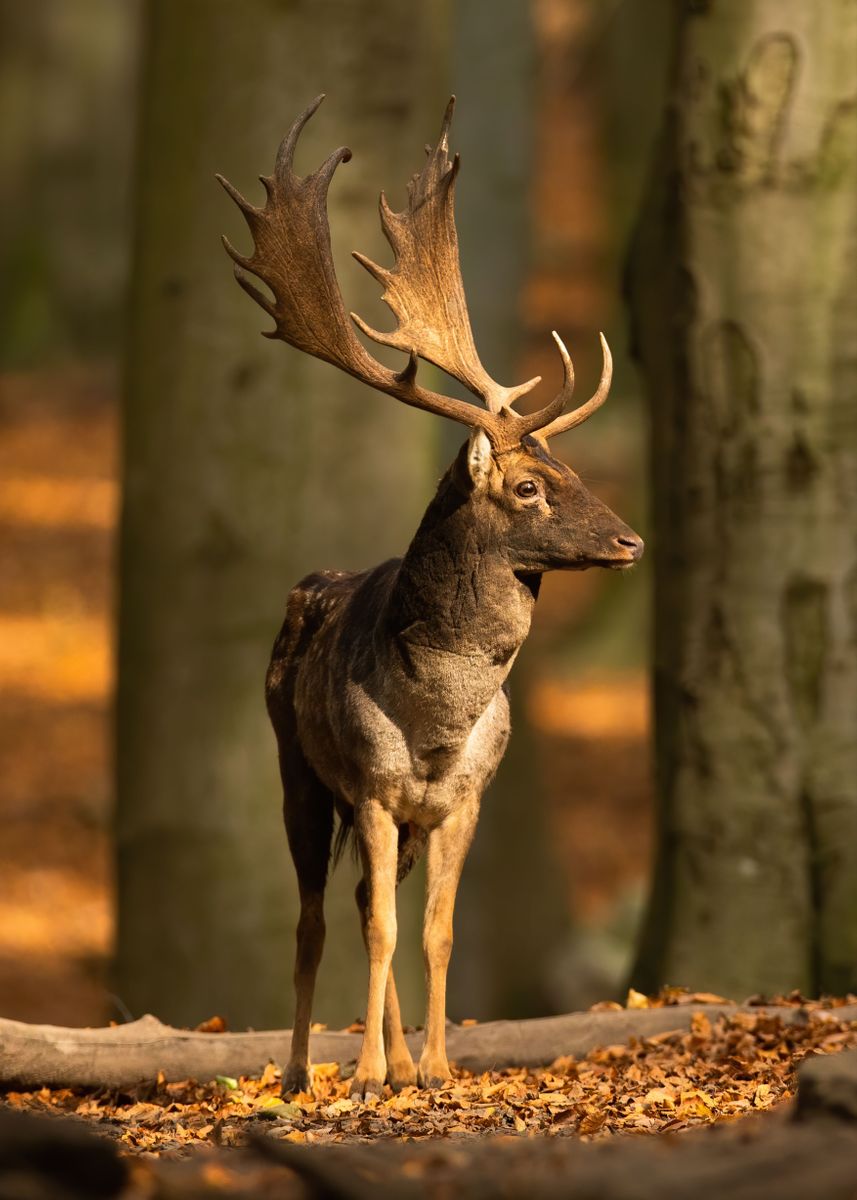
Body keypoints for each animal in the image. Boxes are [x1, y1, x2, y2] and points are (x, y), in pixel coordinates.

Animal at [217, 95, 643, 1100]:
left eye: (569, 471)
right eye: (527, 487)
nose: (630, 541)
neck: (438, 716)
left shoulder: (462, 797)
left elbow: (436, 930)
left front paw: (441, 1068)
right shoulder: (372, 786)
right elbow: (374, 927)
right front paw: (366, 1073)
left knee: (364, 899)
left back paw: (406, 1062)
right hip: (293, 767)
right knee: (317, 915)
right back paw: (306, 1069)